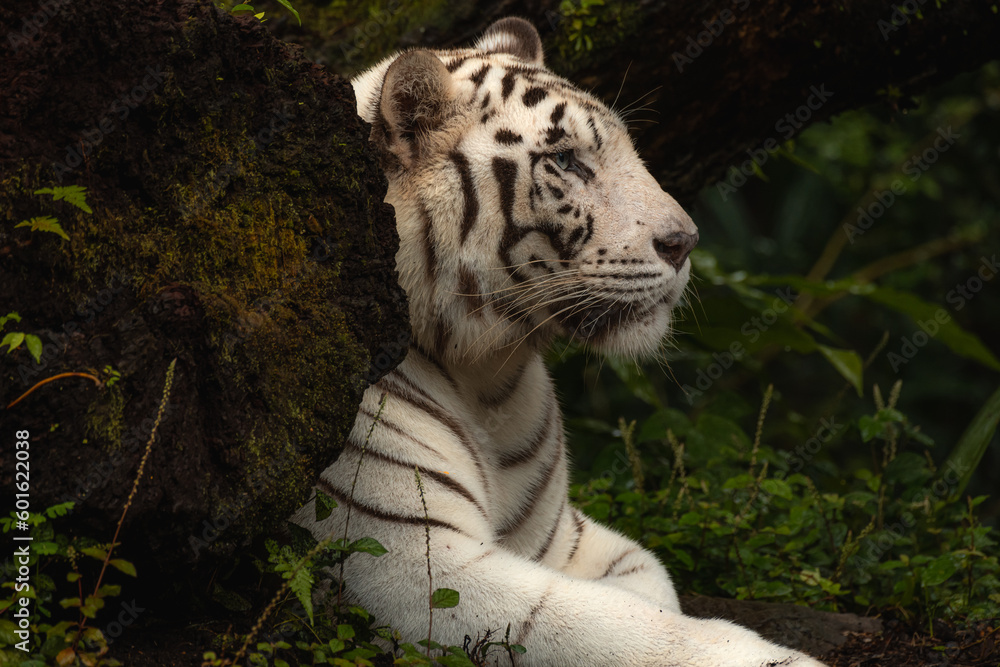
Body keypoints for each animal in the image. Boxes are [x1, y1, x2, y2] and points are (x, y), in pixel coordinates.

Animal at [292, 17, 828, 667]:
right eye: (568, 161)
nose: (686, 241)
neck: (485, 375)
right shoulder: (414, 565)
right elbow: (623, 630)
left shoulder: (562, 537)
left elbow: (653, 584)